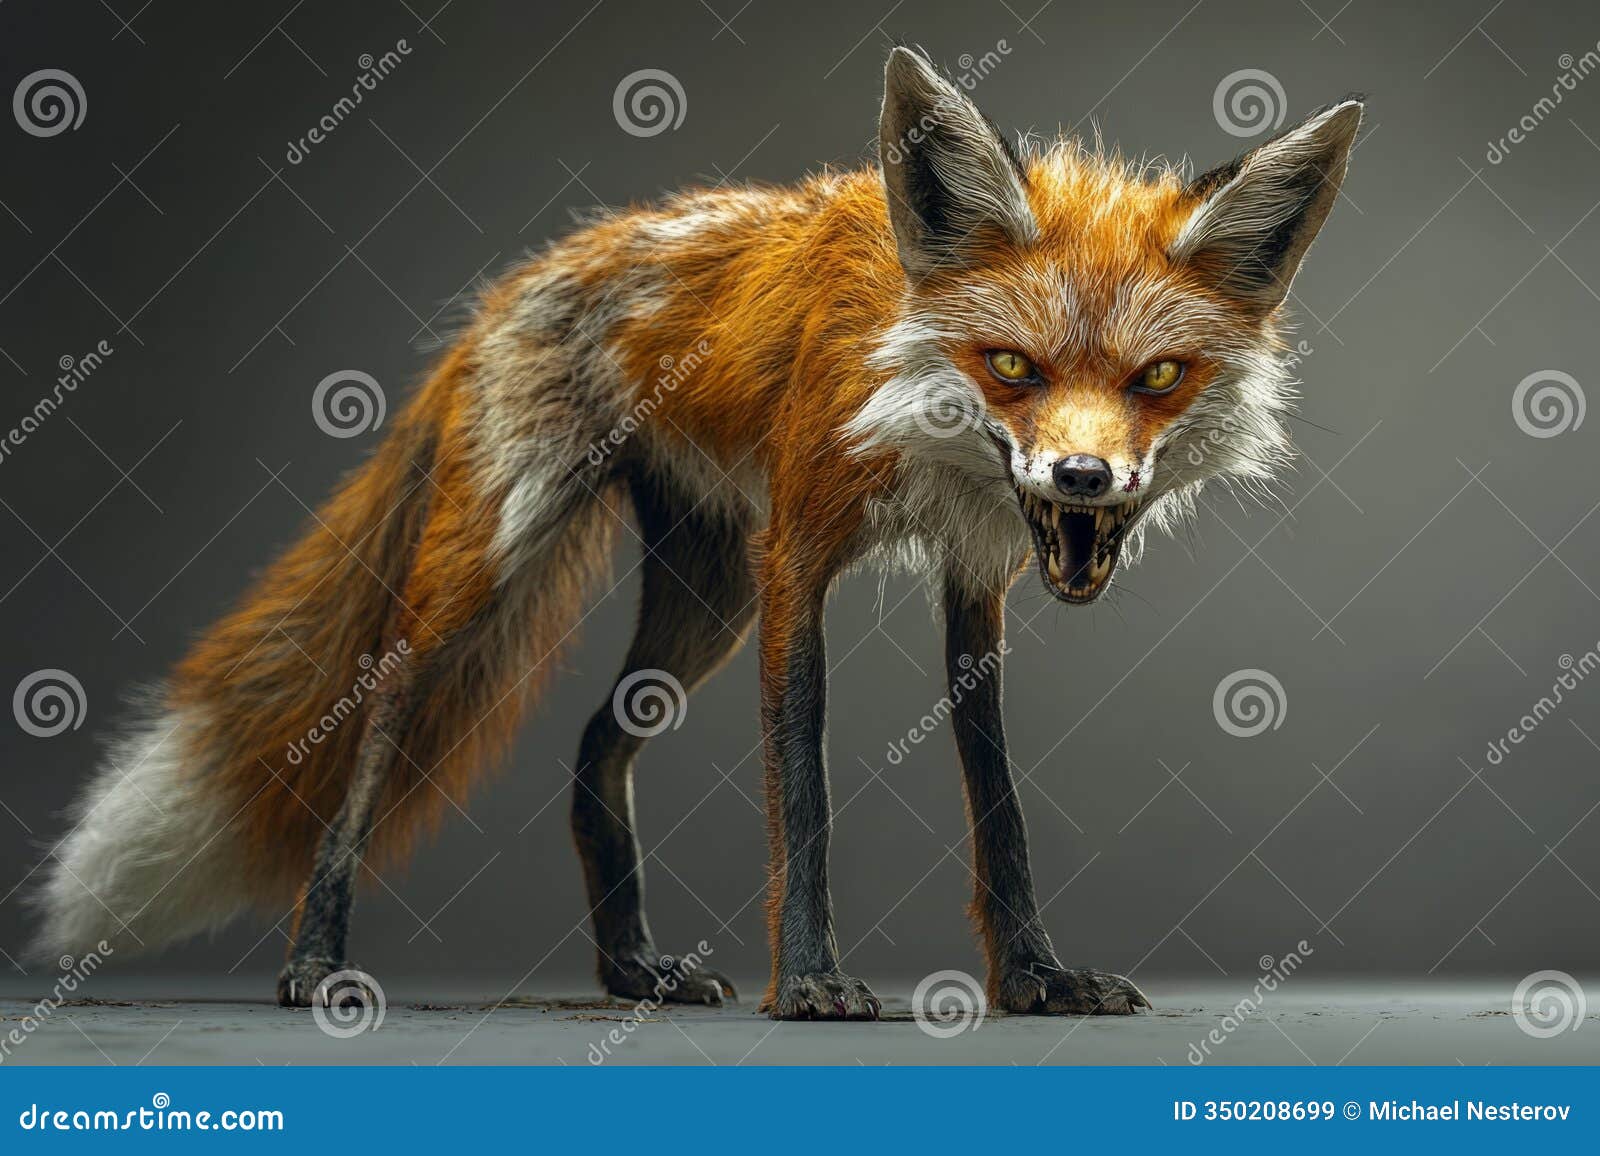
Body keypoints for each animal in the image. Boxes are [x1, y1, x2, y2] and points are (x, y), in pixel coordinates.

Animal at [31, 48, 1361, 1020]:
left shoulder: (974, 578)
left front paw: (1033, 977)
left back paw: (631, 969)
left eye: (1159, 377)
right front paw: (811, 981)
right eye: (1013, 366)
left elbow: (997, 797)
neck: (900, 367)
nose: (1082, 477)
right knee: (372, 726)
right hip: (493, 567)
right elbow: (803, 781)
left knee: (588, 750)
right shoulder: (797, 555)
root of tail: (516, 282)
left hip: (698, 600)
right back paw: (315, 959)